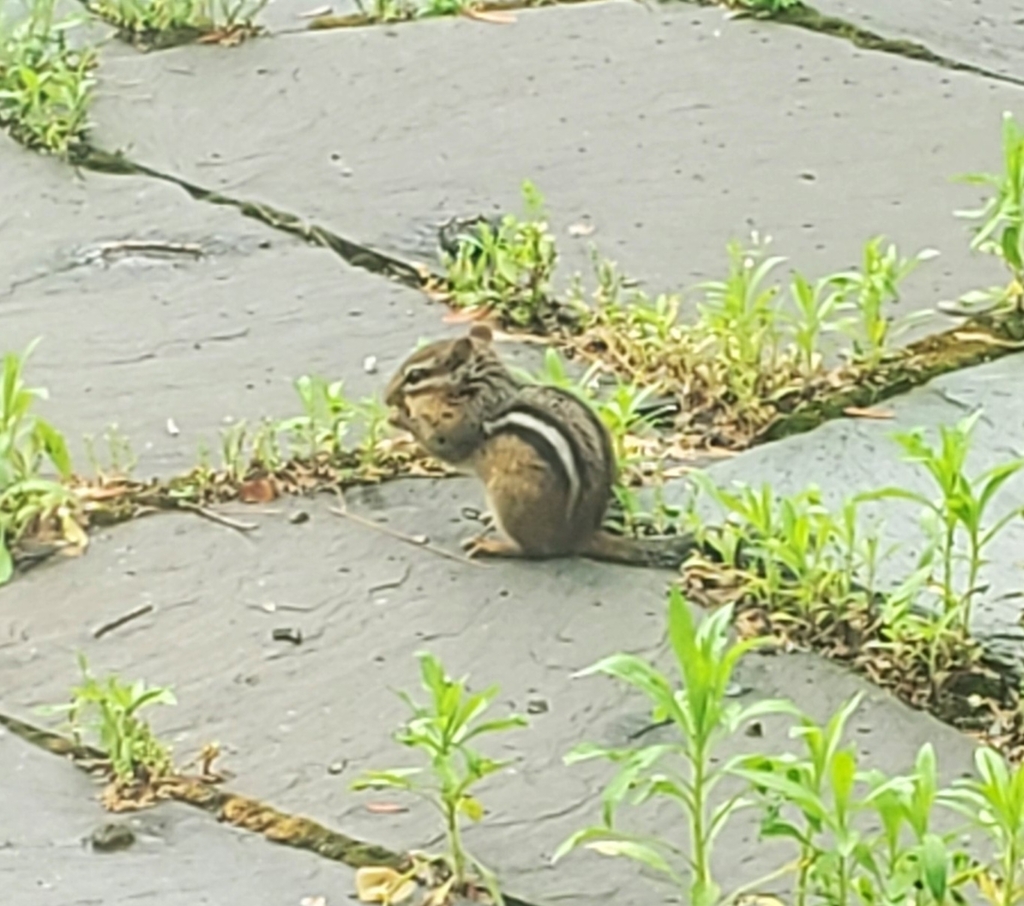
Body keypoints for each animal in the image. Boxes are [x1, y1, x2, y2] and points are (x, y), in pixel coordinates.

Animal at [384, 324, 696, 569]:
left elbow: (443, 447)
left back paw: (494, 545)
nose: (387, 397)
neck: (480, 391)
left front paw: (402, 418)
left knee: (534, 551)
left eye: (414, 376)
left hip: (510, 497)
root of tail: (580, 535)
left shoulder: (461, 427)